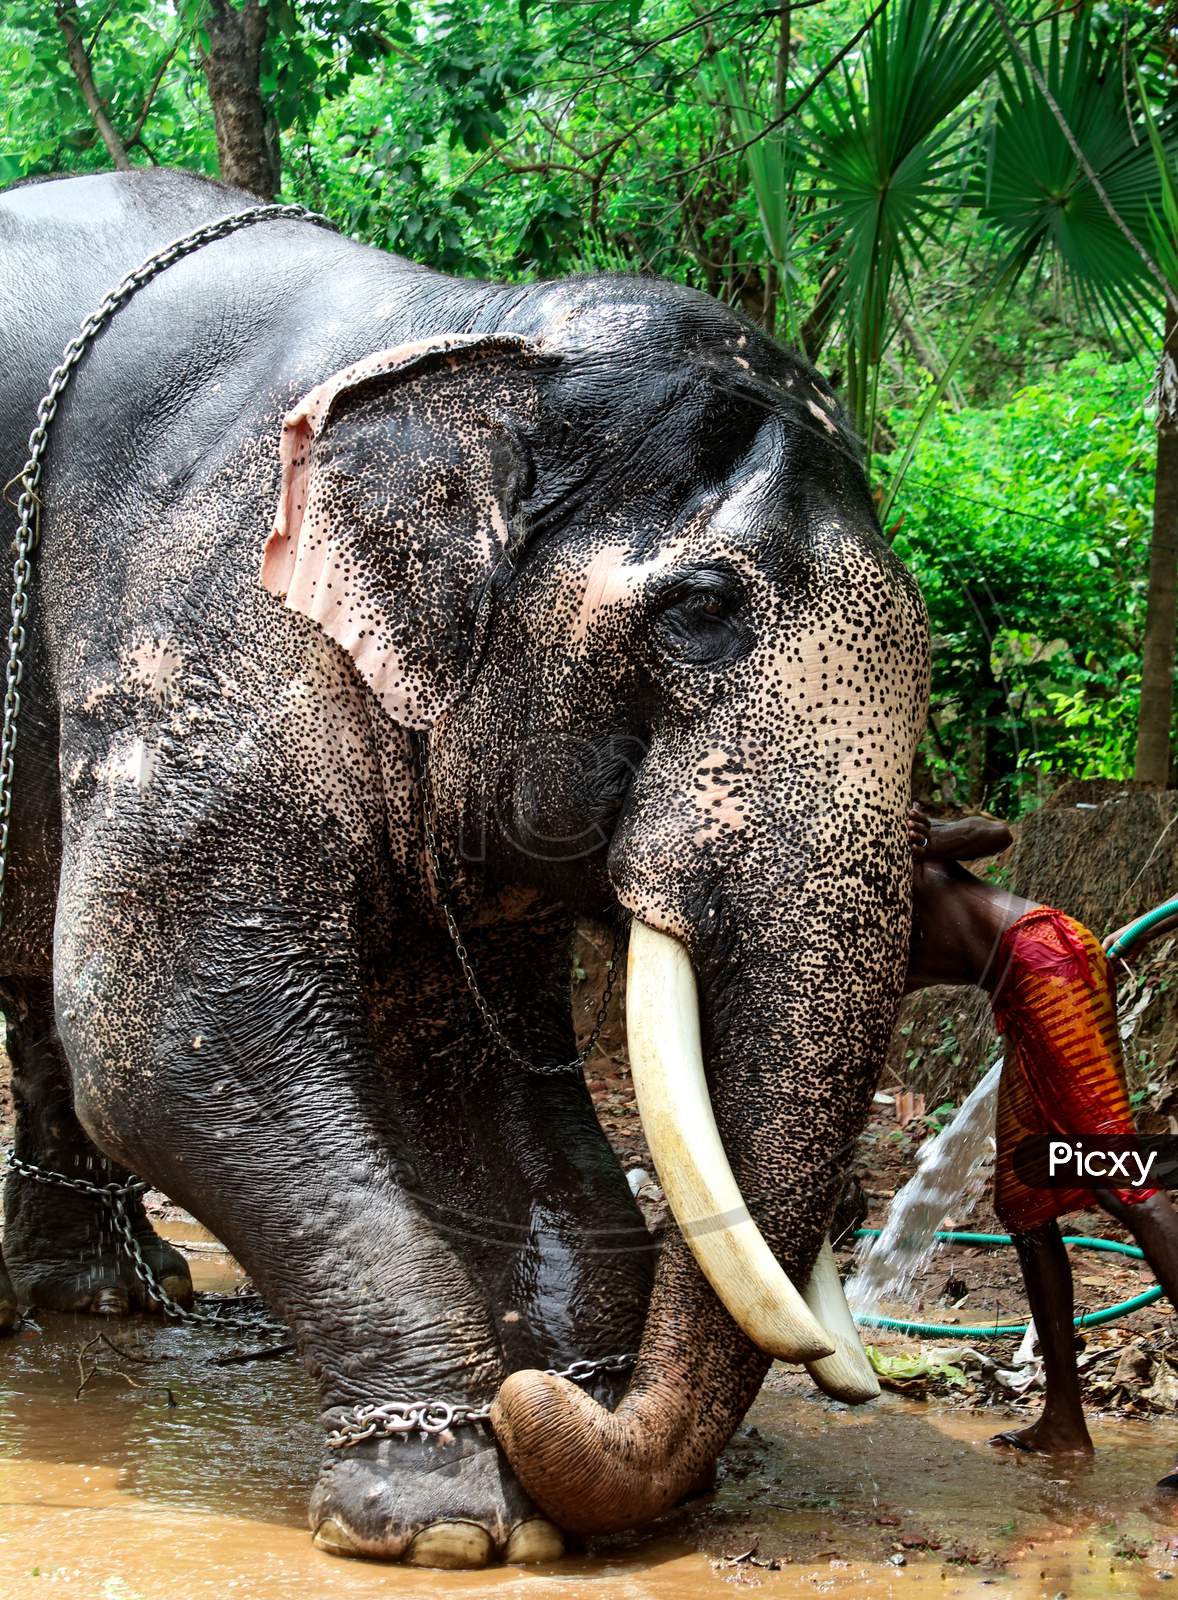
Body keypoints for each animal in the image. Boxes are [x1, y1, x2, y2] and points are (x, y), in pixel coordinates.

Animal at [0, 168, 929, 1567]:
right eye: (700, 610)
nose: (542, 1397)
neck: (469, 327)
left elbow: (483, 1075)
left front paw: (556, 1424)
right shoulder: (185, 631)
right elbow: (166, 1042)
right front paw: (443, 1514)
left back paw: (103, 1294)